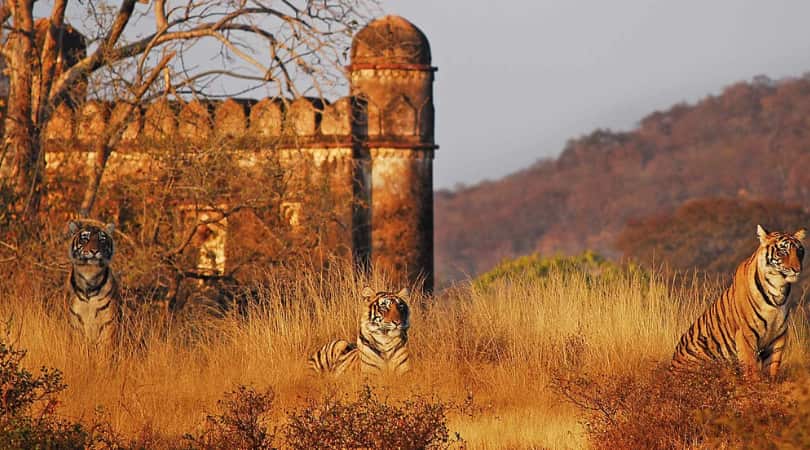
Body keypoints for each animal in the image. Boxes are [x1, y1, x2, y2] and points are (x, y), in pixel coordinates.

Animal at [66, 221, 121, 349]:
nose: (94, 251)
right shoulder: (76, 322)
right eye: (85, 239)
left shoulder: (108, 322)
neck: (90, 274)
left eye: (102, 239)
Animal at [671, 224, 805, 380]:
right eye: (782, 251)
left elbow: (772, 367)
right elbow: (751, 368)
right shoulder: (746, 334)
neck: (778, 288)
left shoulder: (778, 335)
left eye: (800, 252)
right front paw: (754, 385)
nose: (797, 270)